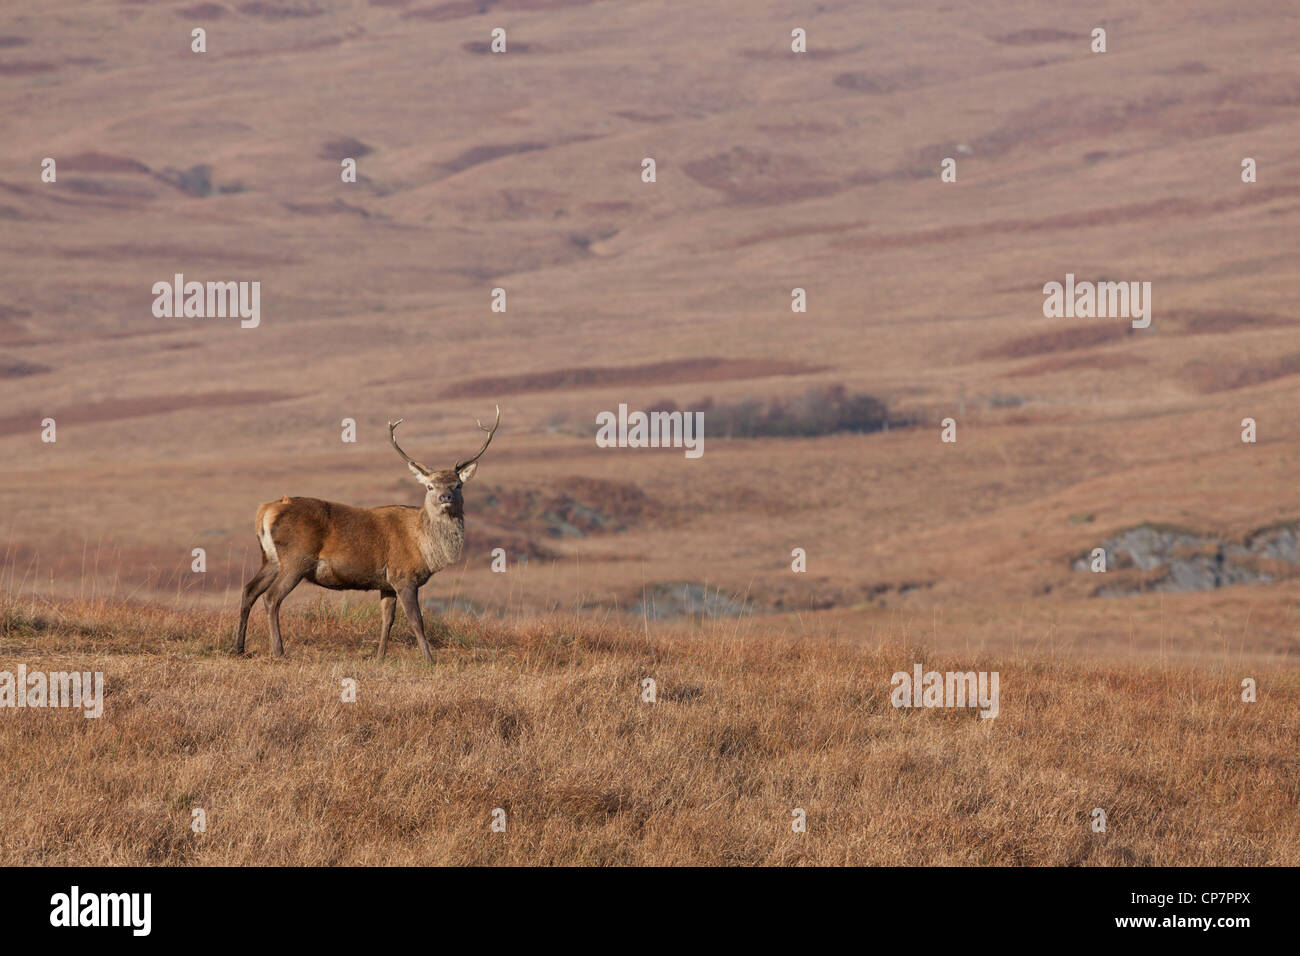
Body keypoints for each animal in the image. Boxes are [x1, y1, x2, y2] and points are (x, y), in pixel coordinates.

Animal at [232, 407, 500, 661]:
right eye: (429, 486)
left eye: (458, 485)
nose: (446, 497)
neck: (424, 548)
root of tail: (266, 510)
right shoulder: (404, 576)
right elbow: (417, 621)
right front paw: (429, 659)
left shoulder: (387, 582)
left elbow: (387, 619)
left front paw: (380, 656)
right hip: (295, 560)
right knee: (271, 597)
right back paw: (279, 651)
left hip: (270, 559)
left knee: (249, 590)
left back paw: (239, 648)